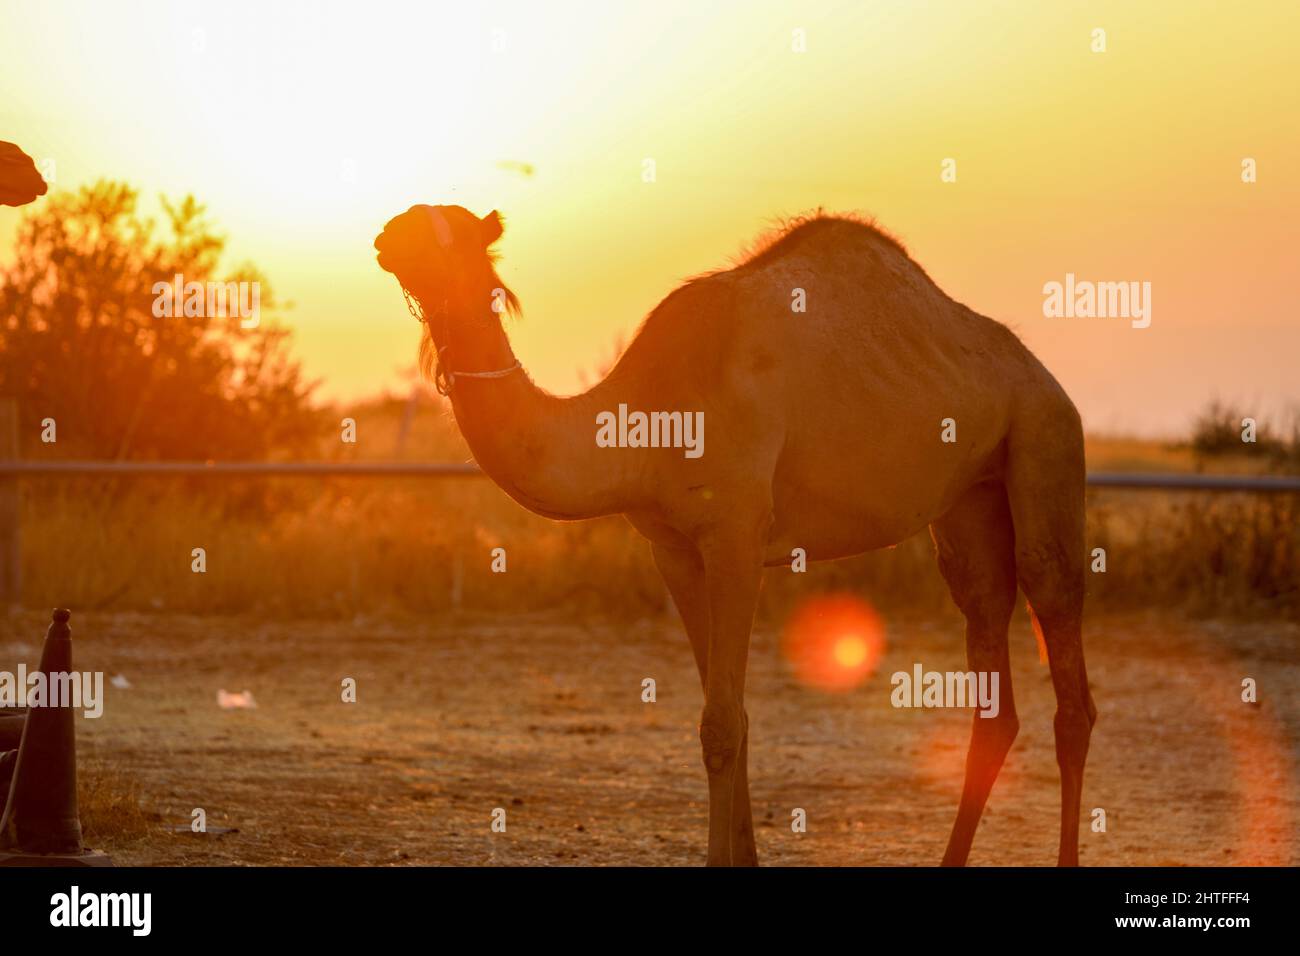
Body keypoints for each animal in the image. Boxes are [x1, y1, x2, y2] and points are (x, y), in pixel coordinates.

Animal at [374, 205, 1096, 866]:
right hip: (969, 502)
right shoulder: (673, 550)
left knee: (1062, 651)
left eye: (448, 230)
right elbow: (732, 718)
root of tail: (1041, 374)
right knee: (989, 654)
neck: (646, 414)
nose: (385, 235)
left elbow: (720, 724)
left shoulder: (736, 536)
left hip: (1045, 435)